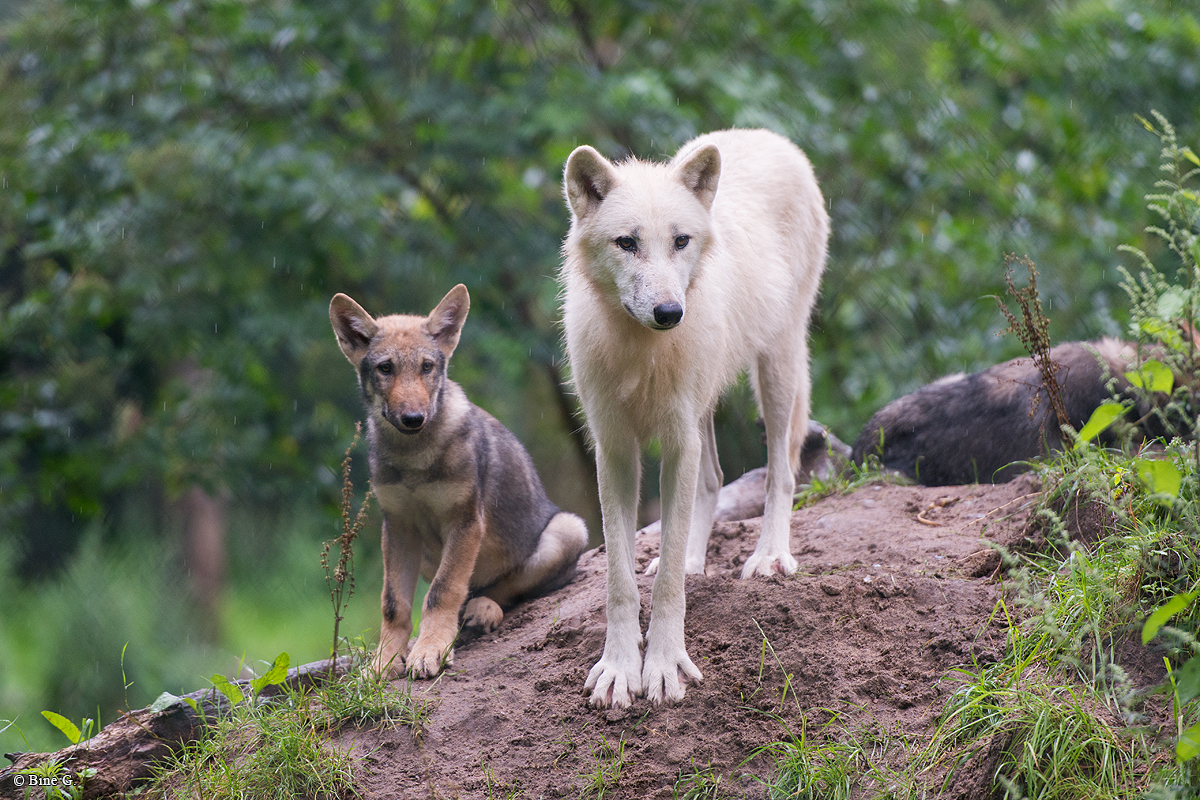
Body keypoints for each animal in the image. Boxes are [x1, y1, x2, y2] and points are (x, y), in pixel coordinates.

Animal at [330, 285, 589, 679]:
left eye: (427, 367)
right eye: (385, 368)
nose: (413, 418)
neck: (414, 456)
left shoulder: (465, 522)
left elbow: (443, 590)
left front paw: (431, 650)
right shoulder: (399, 527)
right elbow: (394, 603)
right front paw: (385, 660)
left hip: (567, 529)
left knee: (503, 589)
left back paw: (483, 610)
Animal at [560, 129, 830, 707]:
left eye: (680, 241)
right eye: (627, 242)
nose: (669, 313)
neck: (640, 351)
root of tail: (769, 136)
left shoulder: (677, 441)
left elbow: (665, 590)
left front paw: (662, 668)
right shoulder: (615, 450)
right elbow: (620, 581)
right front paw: (620, 670)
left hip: (776, 371)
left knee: (782, 470)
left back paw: (770, 557)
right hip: (704, 406)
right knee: (712, 481)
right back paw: (688, 558)